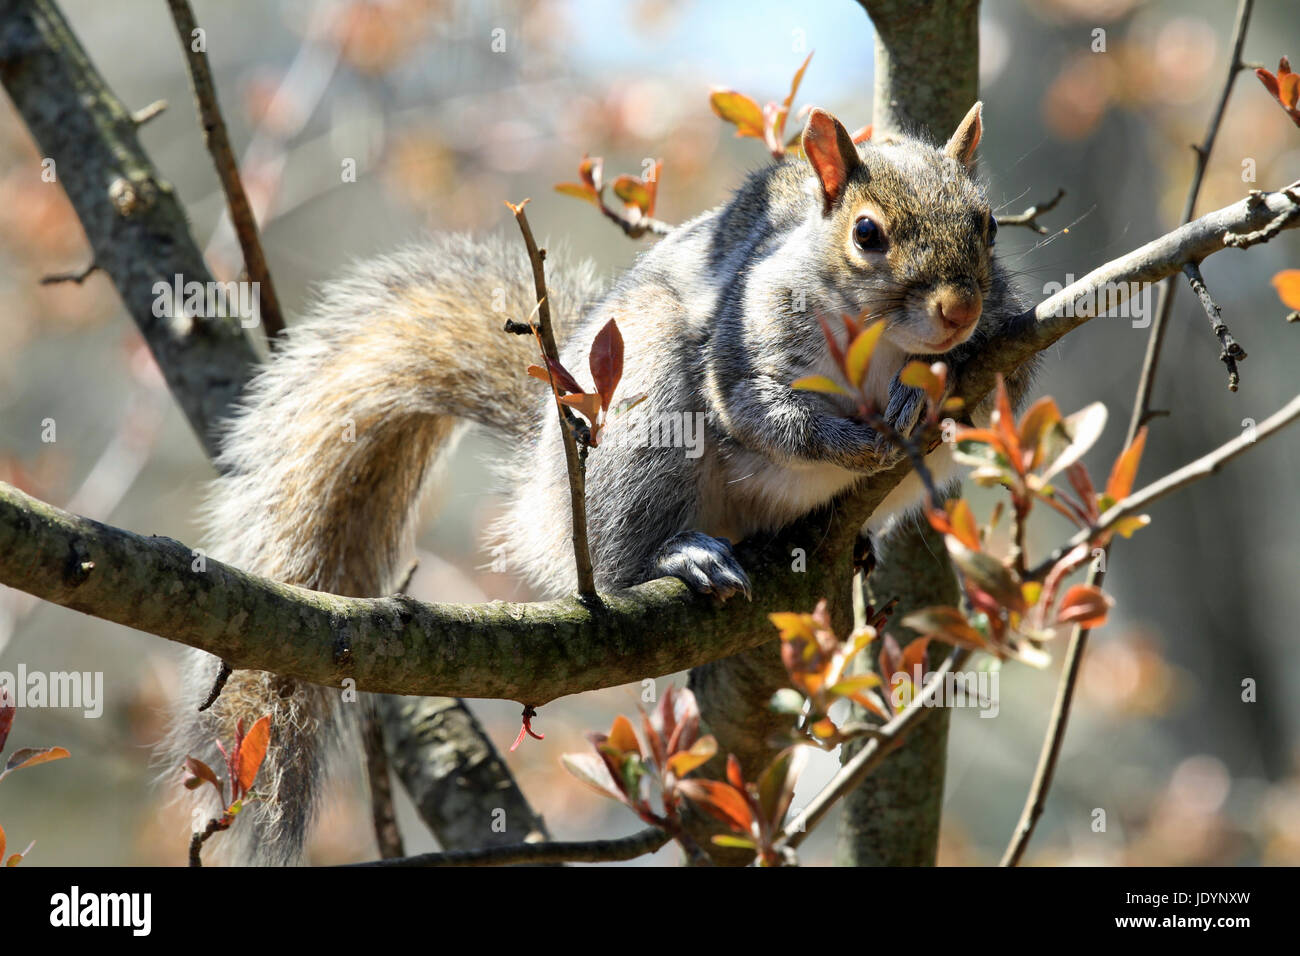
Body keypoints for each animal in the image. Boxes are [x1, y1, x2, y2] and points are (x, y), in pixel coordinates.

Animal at [163, 101, 1035, 864]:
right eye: (867, 233)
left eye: (989, 225)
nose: (958, 309)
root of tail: (552, 473)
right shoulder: (749, 338)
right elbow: (760, 413)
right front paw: (855, 440)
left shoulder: (1004, 344)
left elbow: (1001, 392)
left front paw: (925, 392)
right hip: (643, 407)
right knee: (620, 555)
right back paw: (680, 556)